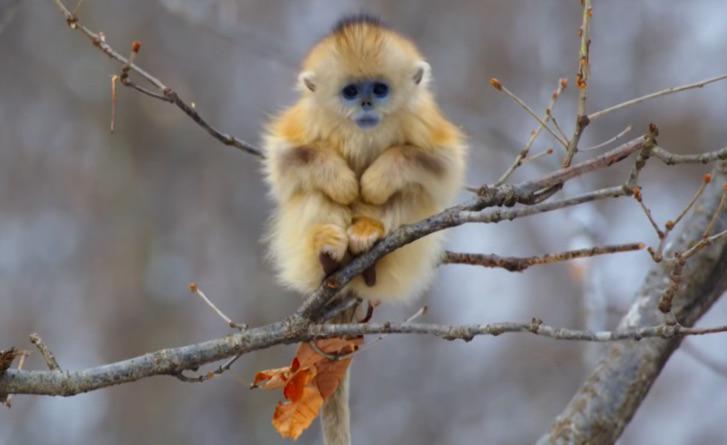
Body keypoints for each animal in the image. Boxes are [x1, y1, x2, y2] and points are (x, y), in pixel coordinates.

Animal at [262, 15, 466, 445]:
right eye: (351, 91)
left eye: (380, 89)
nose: (367, 104)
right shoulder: (305, 121)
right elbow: (289, 159)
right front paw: (341, 181)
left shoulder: (423, 121)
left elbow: (440, 166)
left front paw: (374, 182)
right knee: (312, 194)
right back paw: (329, 251)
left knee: (408, 193)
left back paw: (368, 239)